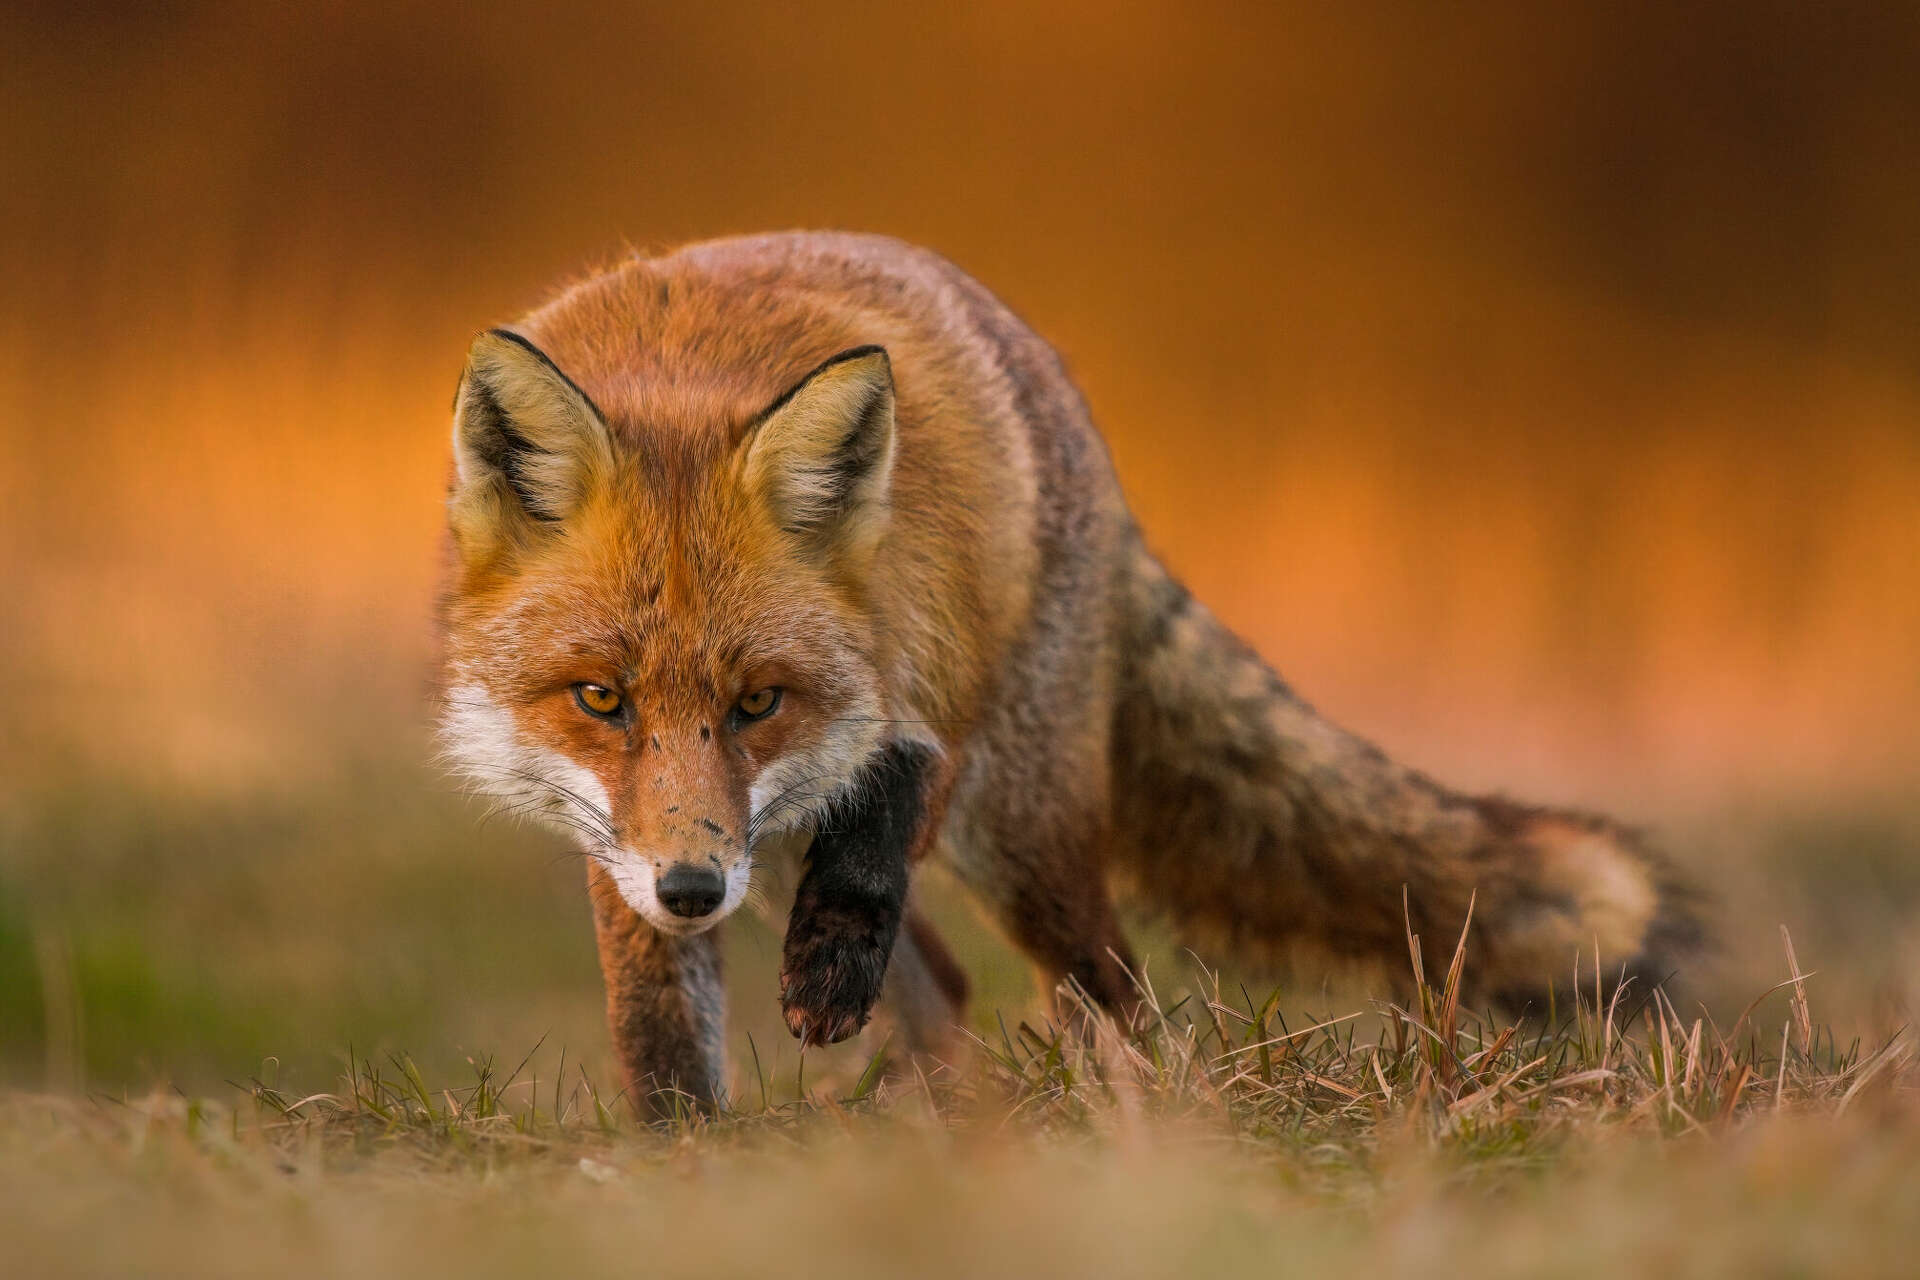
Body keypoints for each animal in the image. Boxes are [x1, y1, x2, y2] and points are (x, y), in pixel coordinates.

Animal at [437, 231, 1703, 1115]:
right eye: (602, 697)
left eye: (759, 701)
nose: (696, 888)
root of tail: (1064, 390)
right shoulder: (625, 840)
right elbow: (659, 1037)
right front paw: (683, 1163)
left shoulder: (928, 685)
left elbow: (889, 799)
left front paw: (834, 961)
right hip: (800, 846)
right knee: (948, 989)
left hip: (1026, 841)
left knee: (1111, 989)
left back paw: (1121, 1120)